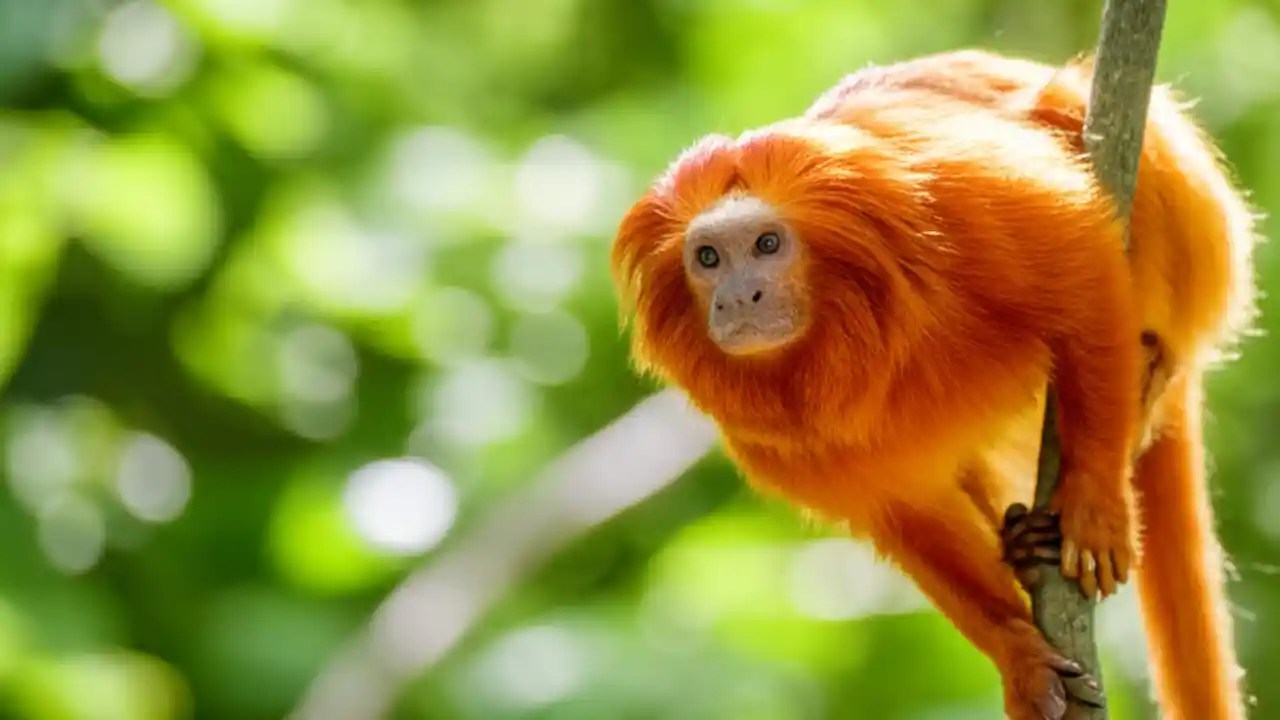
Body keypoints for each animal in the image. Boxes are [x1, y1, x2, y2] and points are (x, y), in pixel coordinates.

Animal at [611, 50, 1257, 720]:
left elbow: (1079, 258)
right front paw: (1016, 652)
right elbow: (908, 519)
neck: (849, 323)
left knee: (1071, 106)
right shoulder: (777, 444)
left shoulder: (957, 201)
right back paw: (1023, 545)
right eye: (708, 259)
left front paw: (1094, 501)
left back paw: (1151, 381)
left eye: (767, 244)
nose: (740, 298)